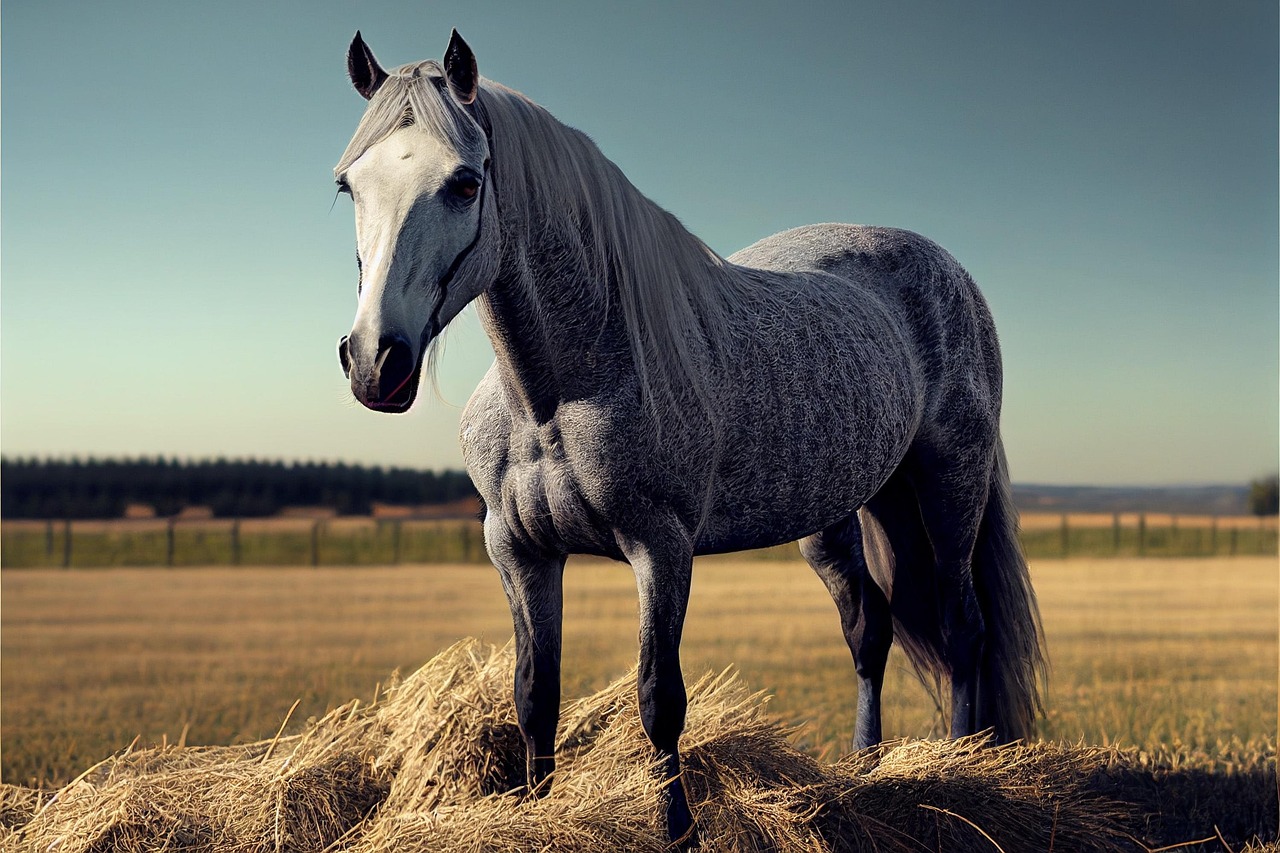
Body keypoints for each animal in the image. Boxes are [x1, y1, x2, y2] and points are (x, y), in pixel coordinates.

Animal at [332, 30, 1046, 847]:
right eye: (349, 187)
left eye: (463, 183)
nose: (374, 359)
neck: (557, 394)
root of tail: (950, 272)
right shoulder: (518, 550)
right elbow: (535, 693)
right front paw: (539, 812)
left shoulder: (662, 548)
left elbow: (658, 698)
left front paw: (679, 829)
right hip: (846, 510)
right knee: (870, 628)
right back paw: (866, 771)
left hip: (949, 483)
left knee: (963, 628)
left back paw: (965, 770)